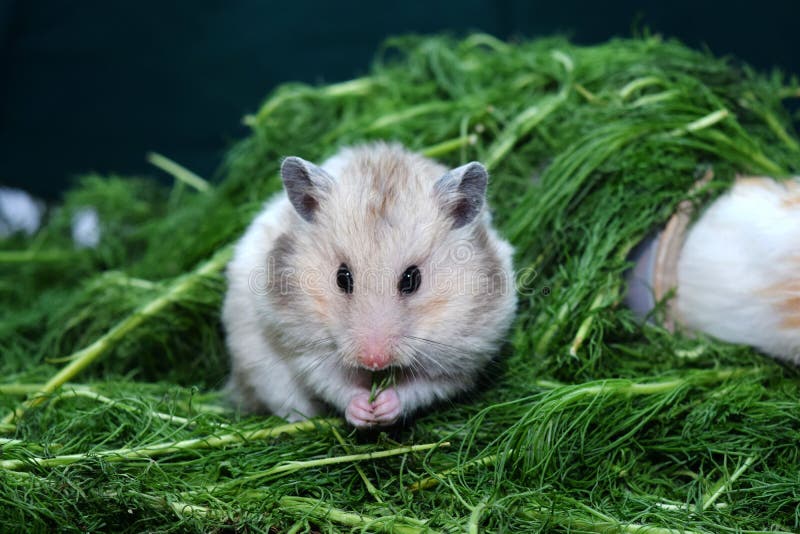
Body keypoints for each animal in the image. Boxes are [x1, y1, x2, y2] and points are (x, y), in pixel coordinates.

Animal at [222, 142, 517, 427]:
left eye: (412, 279)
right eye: (342, 277)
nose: (374, 361)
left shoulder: (461, 357)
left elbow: (421, 386)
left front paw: (382, 409)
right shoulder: (304, 347)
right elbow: (332, 381)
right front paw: (364, 410)